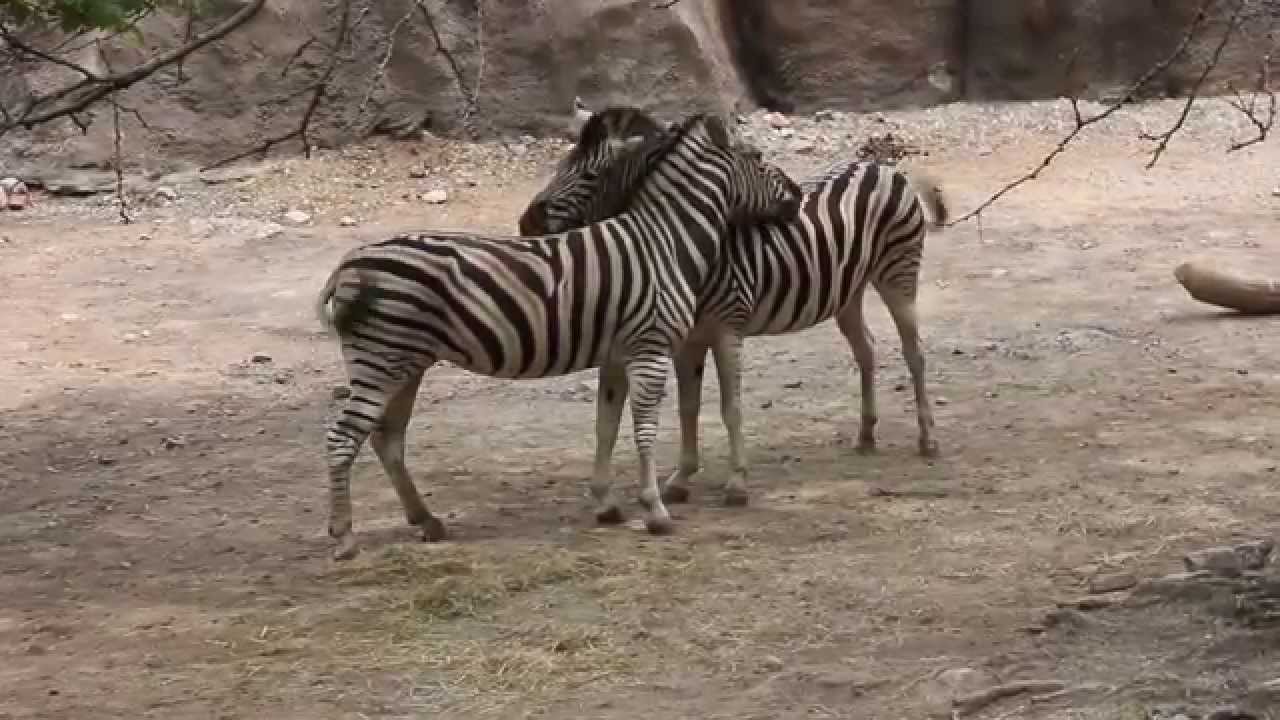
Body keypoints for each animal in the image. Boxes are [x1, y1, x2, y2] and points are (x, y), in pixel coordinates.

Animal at [315, 113, 802, 560]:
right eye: (759, 158)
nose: (798, 198)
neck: (664, 241)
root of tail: (348, 264)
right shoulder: (650, 347)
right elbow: (644, 430)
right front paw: (655, 511)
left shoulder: (616, 354)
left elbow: (606, 426)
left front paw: (607, 505)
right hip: (381, 359)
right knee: (342, 439)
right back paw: (344, 538)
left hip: (404, 360)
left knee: (387, 438)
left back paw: (427, 520)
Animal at [518, 105, 947, 508]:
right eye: (559, 167)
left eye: (589, 176)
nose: (526, 224)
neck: (684, 246)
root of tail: (879, 166)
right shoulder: (687, 339)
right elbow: (687, 406)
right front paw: (680, 479)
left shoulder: (727, 329)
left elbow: (731, 406)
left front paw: (737, 483)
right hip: (848, 291)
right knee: (866, 350)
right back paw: (866, 434)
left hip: (898, 273)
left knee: (914, 352)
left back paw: (928, 439)